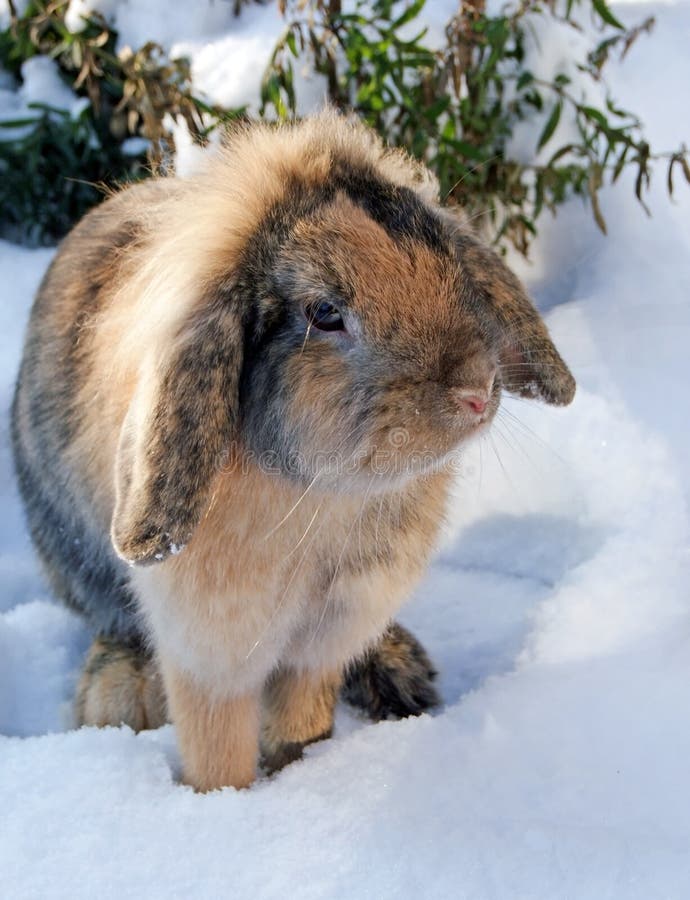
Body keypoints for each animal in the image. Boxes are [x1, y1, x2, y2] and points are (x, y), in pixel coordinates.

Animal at [11, 111, 575, 791]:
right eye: (325, 312)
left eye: (448, 263)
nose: (476, 389)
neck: (322, 499)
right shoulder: (213, 653)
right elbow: (218, 746)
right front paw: (224, 800)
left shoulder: (325, 639)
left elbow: (303, 718)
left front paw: (298, 768)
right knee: (113, 623)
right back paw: (118, 696)